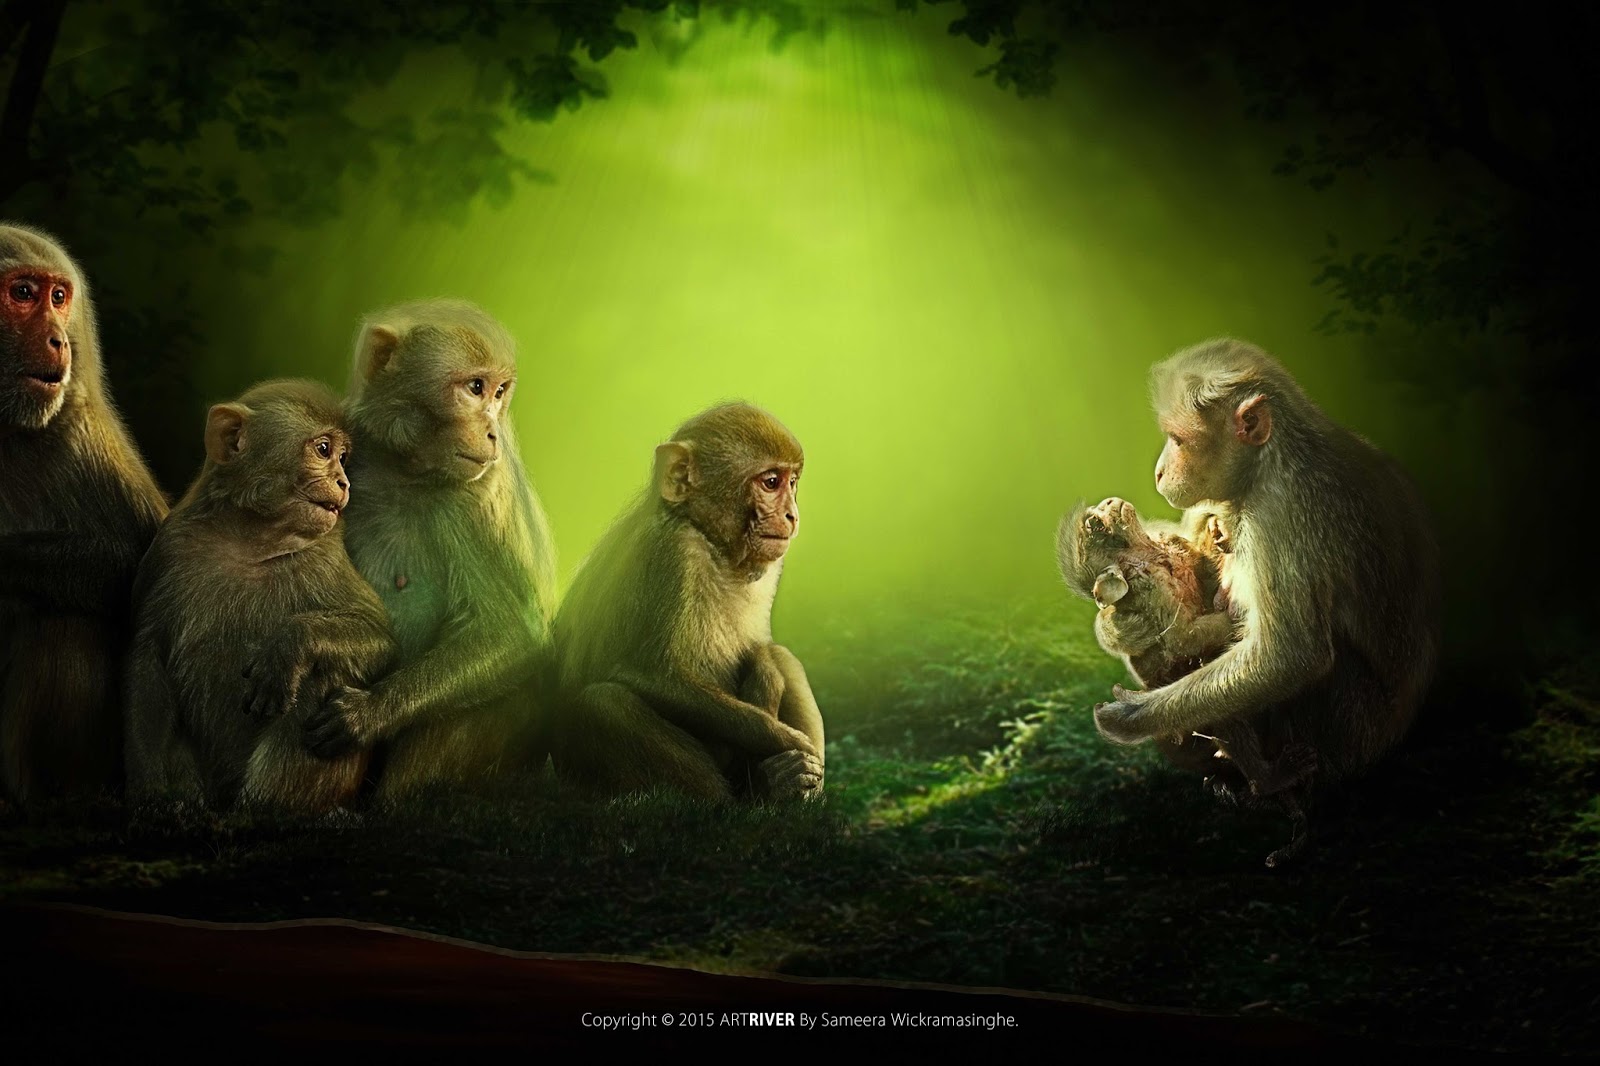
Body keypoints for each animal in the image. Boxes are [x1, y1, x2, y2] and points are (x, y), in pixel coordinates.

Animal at [0, 223, 169, 806]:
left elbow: (141, 571)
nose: (60, 341)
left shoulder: (79, 436)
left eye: (58, 297)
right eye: (22, 294)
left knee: (60, 618)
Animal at [123, 380, 395, 813]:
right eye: (323, 450)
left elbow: (381, 639)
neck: (250, 542)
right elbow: (147, 659)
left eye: (343, 457)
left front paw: (289, 646)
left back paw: (263, 809)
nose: (344, 483)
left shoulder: (326, 557)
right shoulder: (169, 547)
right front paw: (149, 792)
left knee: (324, 673)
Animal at [300, 299, 557, 799]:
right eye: (475, 388)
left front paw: (369, 713)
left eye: (499, 392)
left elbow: (513, 631)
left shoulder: (478, 496)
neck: (405, 469)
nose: (493, 433)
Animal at [546, 401, 825, 803]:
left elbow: (765, 651)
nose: (792, 515)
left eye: (792, 482)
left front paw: (767, 674)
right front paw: (783, 740)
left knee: (784, 657)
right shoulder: (675, 553)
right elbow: (647, 675)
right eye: (771, 482)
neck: (710, 541)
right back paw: (755, 790)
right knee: (604, 704)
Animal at [1091, 338, 1441, 863]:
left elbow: (1291, 656)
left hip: (1349, 735)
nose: (1159, 471)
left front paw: (1137, 716)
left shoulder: (1282, 515)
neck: (1266, 465)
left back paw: (1273, 785)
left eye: (1177, 439)